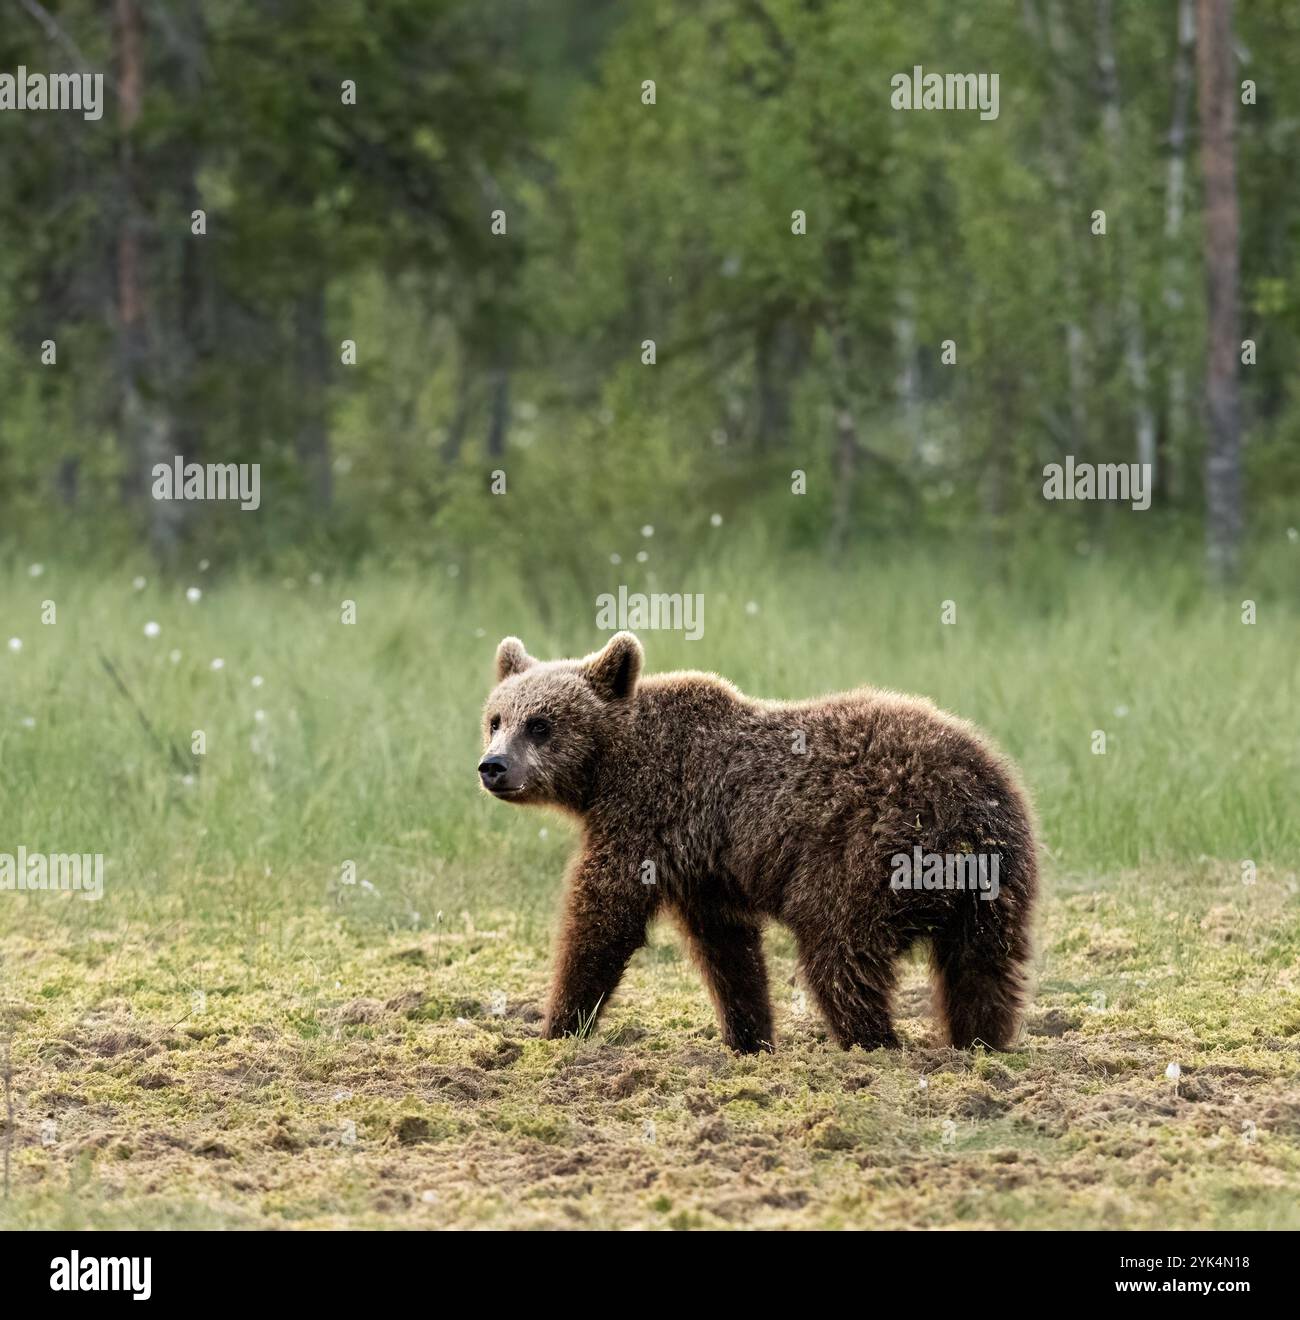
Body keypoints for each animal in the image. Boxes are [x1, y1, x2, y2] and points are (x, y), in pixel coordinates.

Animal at [478, 631, 1038, 1054]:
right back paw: (979, 1044)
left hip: (865, 853)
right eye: (495, 719)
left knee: (839, 955)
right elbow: (728, 950)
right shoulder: (701, 866)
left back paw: (872, 1043)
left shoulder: (646, 818)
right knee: (984, 968)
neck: (610, 768)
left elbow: (602, 917)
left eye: (541, 724)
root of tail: (963, 808)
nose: (493, 766)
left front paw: (557, 1027)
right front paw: (749, 1037)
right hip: (997, 878)